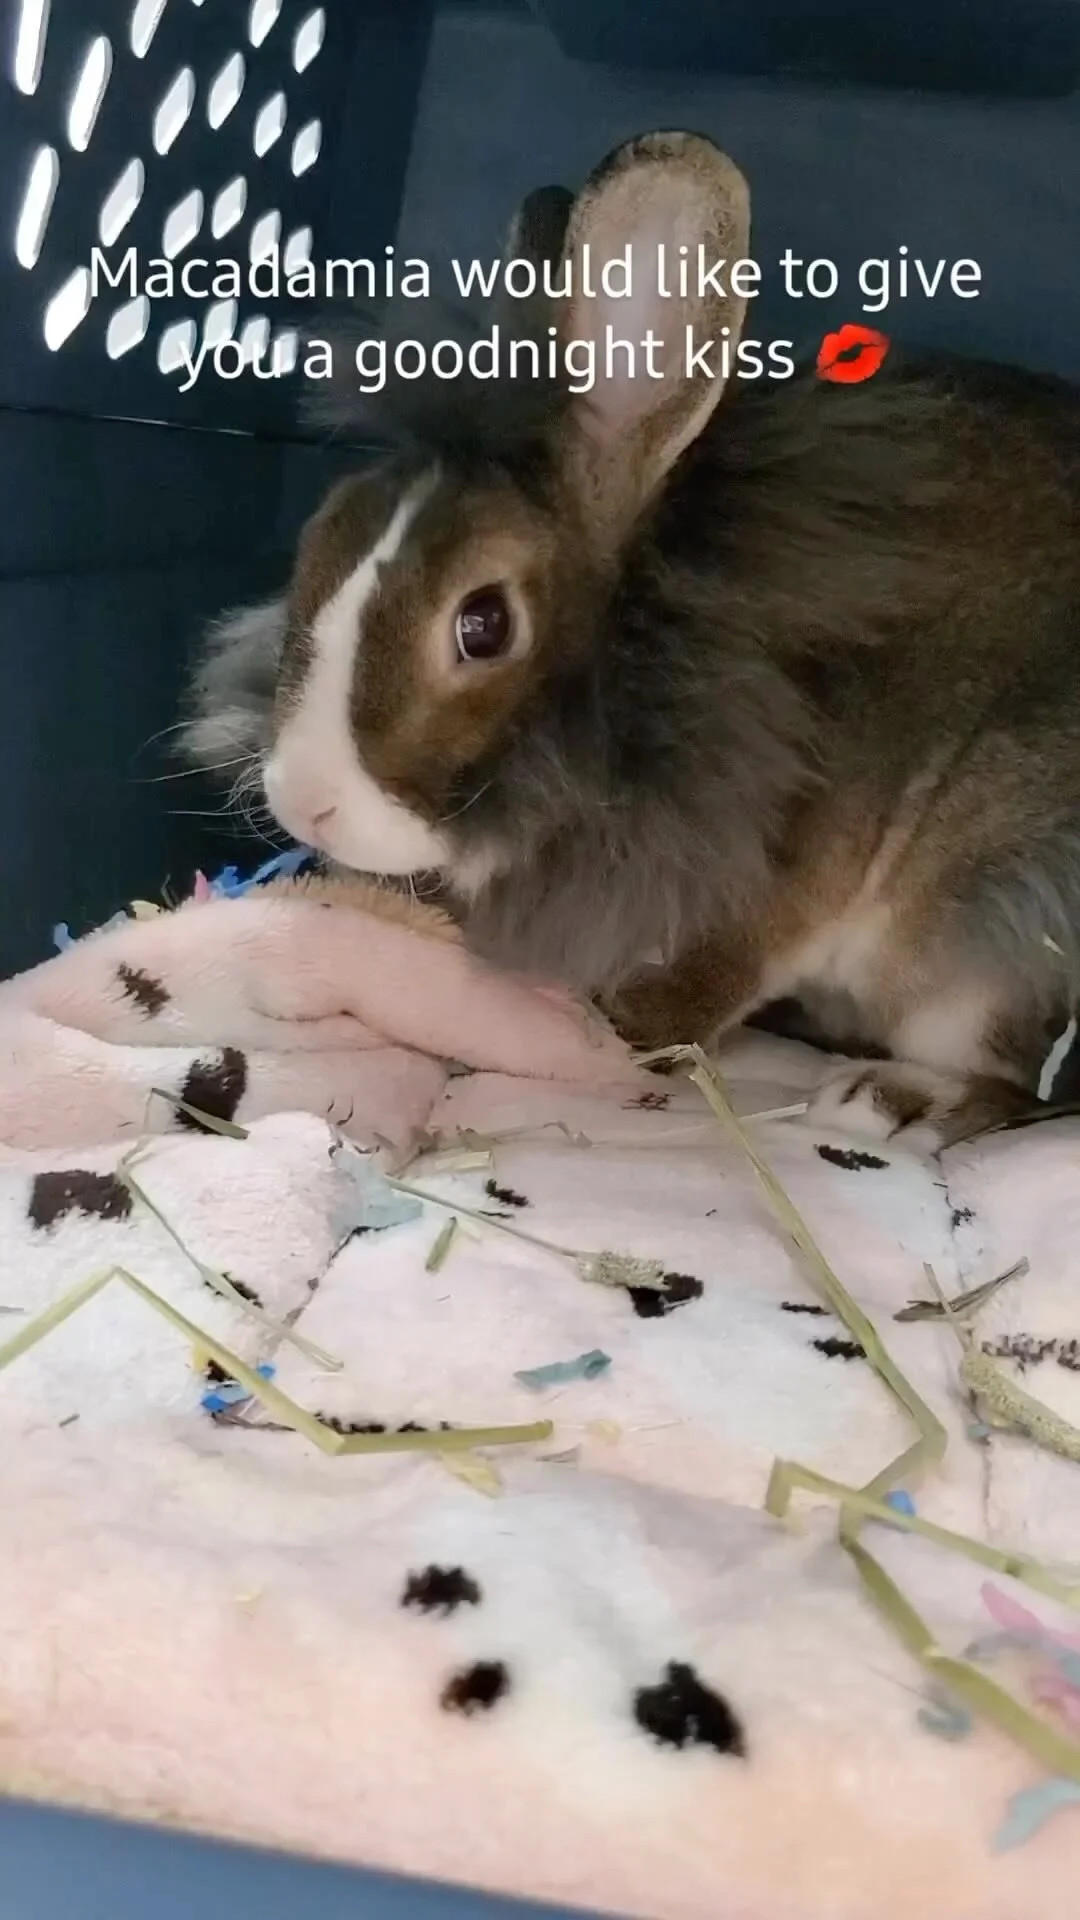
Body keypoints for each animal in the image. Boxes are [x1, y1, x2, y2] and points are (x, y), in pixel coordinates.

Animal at [181, 131, 1080, 1150]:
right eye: (320, 536)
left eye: (483, 624)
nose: (303, 804)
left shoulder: (772, 879)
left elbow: (706, 982)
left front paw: (617, 1037)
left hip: (988, 946)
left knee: (1021, 1086)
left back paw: (887, 1100)